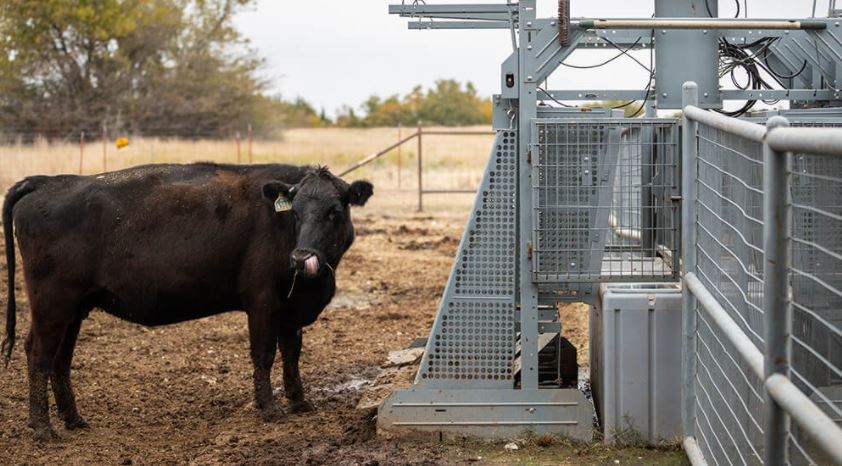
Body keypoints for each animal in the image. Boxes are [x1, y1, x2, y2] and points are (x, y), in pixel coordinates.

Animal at [1, 163, 373, 441]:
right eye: (294, 212)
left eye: (335, 211)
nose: (300, 258)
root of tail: (47, 181)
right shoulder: (263, 302)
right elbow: (264, 355)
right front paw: (269, 409)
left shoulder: (291, 308)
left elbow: (291, 353)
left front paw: (300, 401)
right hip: (52, 303)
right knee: (39, 355)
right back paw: (43, 428)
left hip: (74, 308)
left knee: (60, 359)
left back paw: (73, 419)